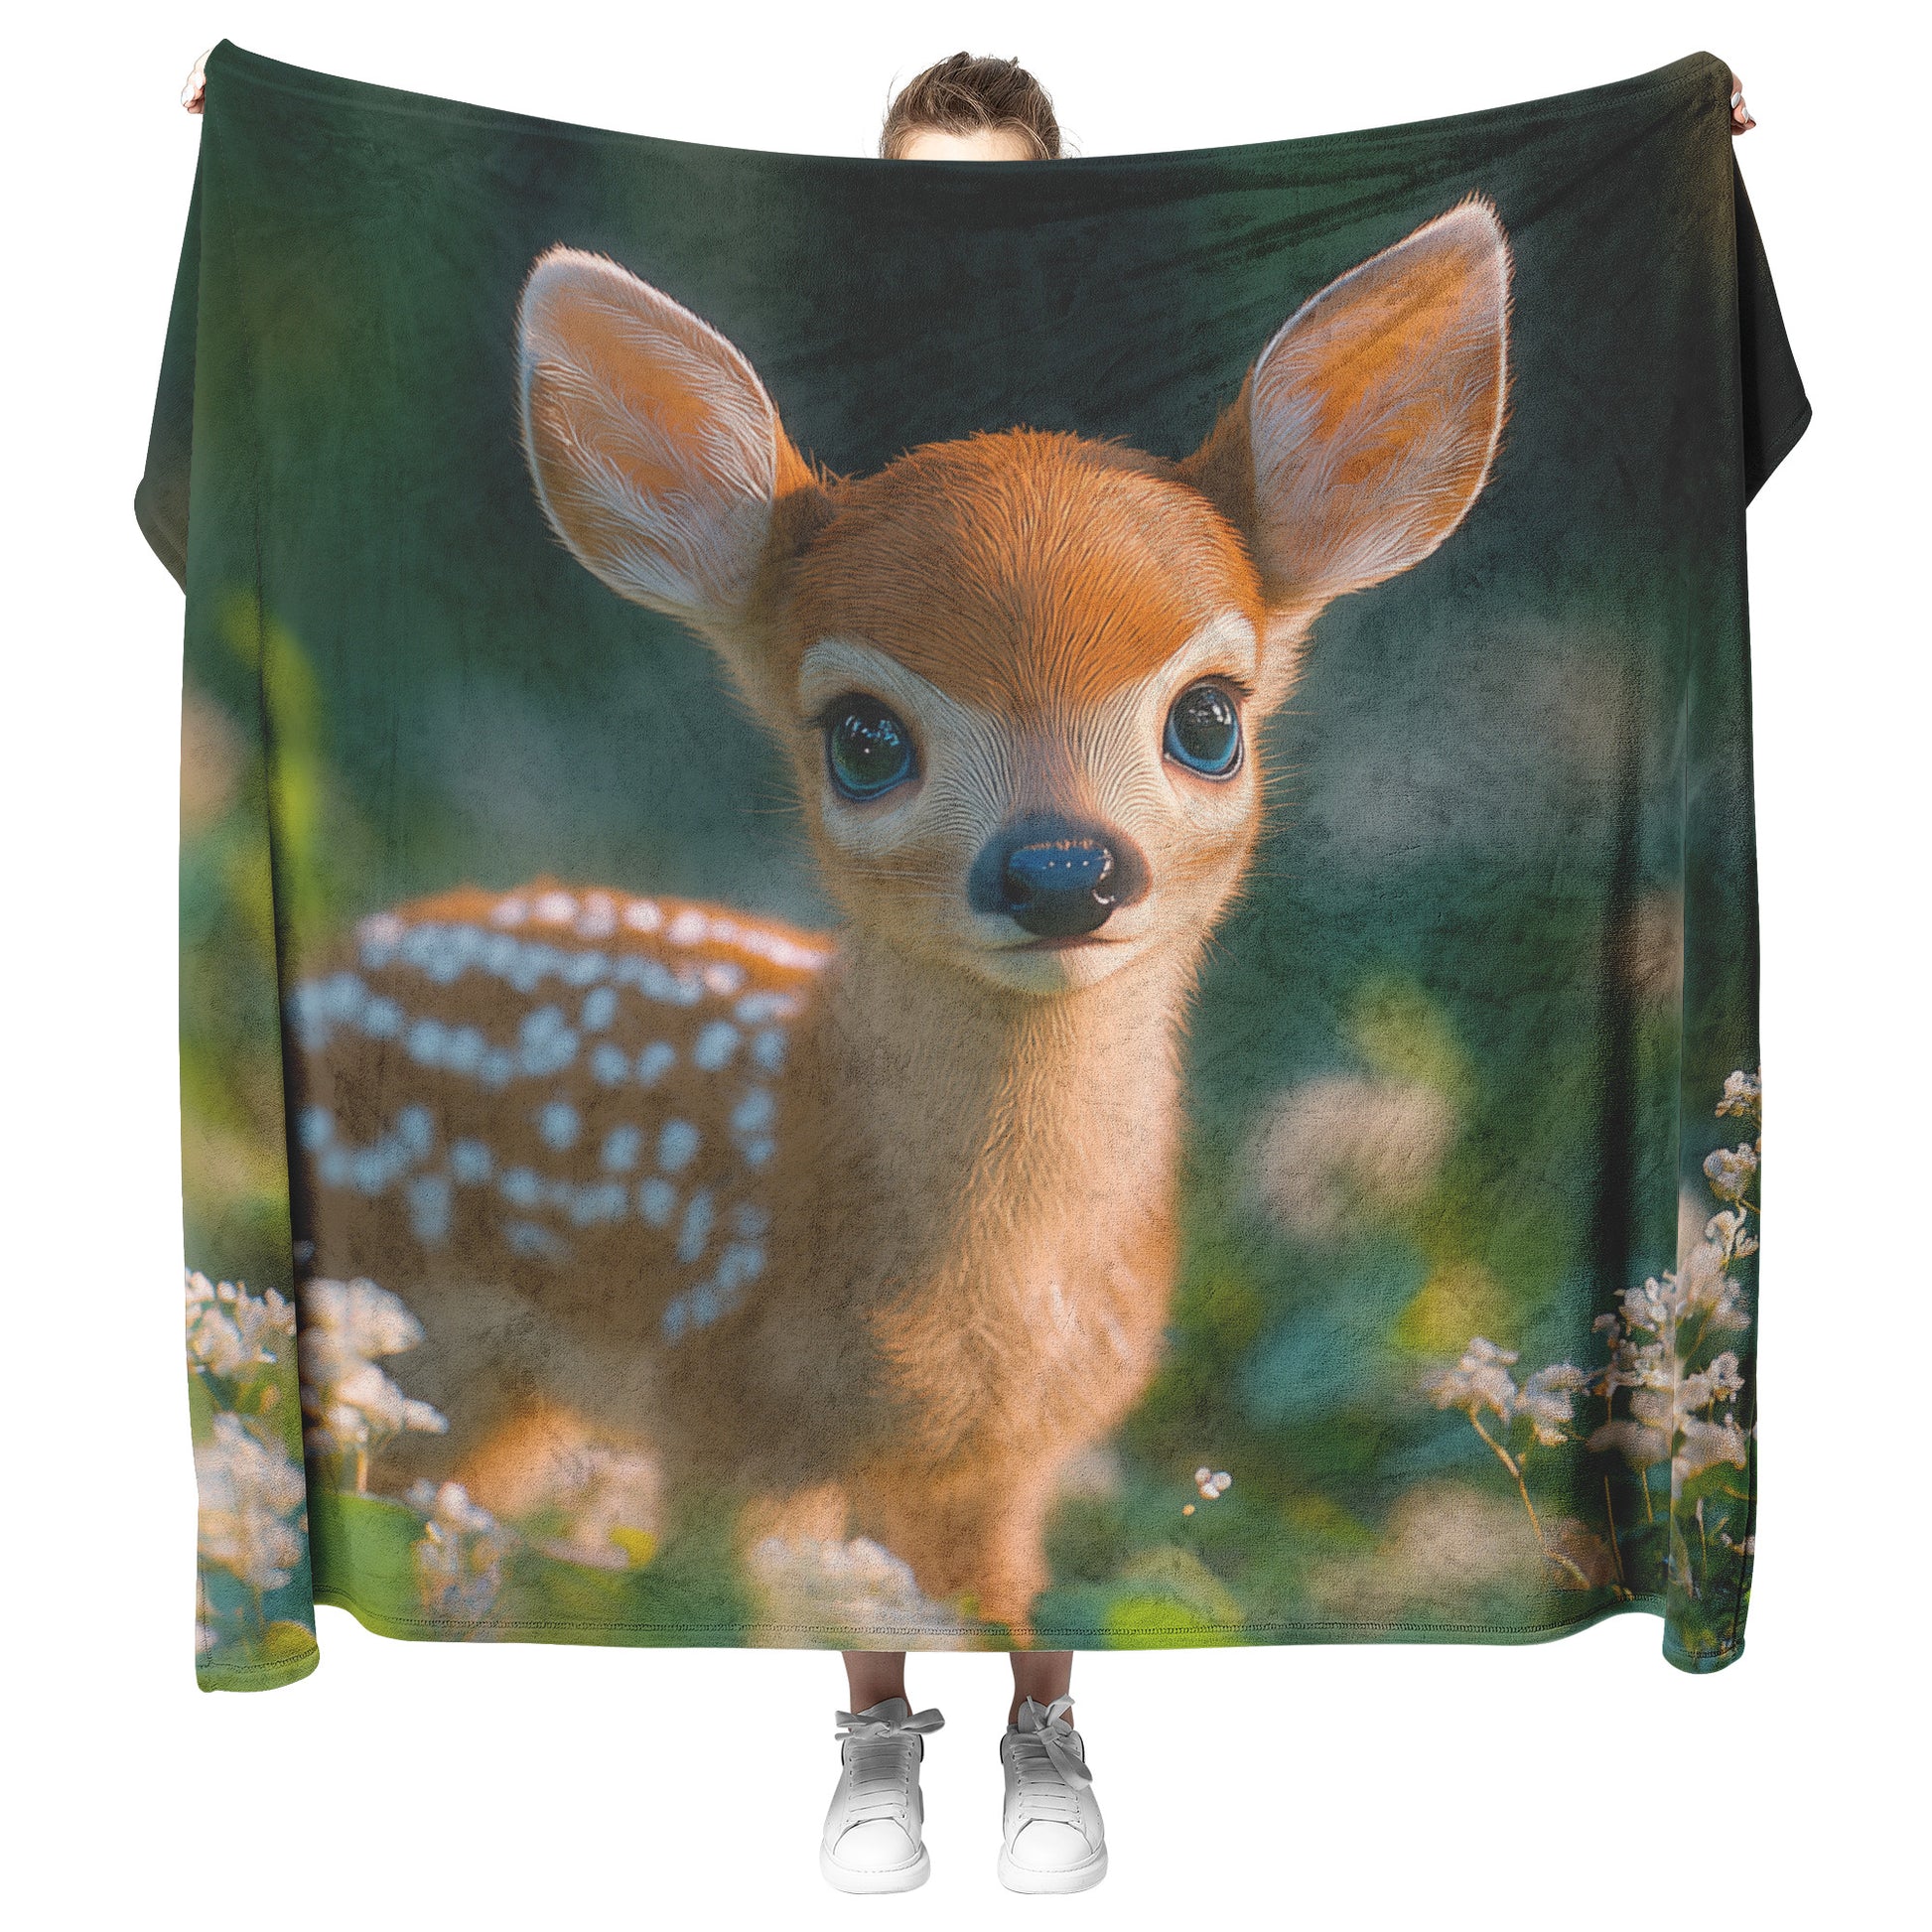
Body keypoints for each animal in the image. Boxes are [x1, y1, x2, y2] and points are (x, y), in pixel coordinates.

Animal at [287, 198, 1511, 1638]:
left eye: (1207, 716)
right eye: (863, 736)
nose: (1060, 871)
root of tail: (333, 965)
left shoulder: (999, 1467)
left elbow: (1005, 1617)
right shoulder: (721, 1408)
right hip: (409, 1317)